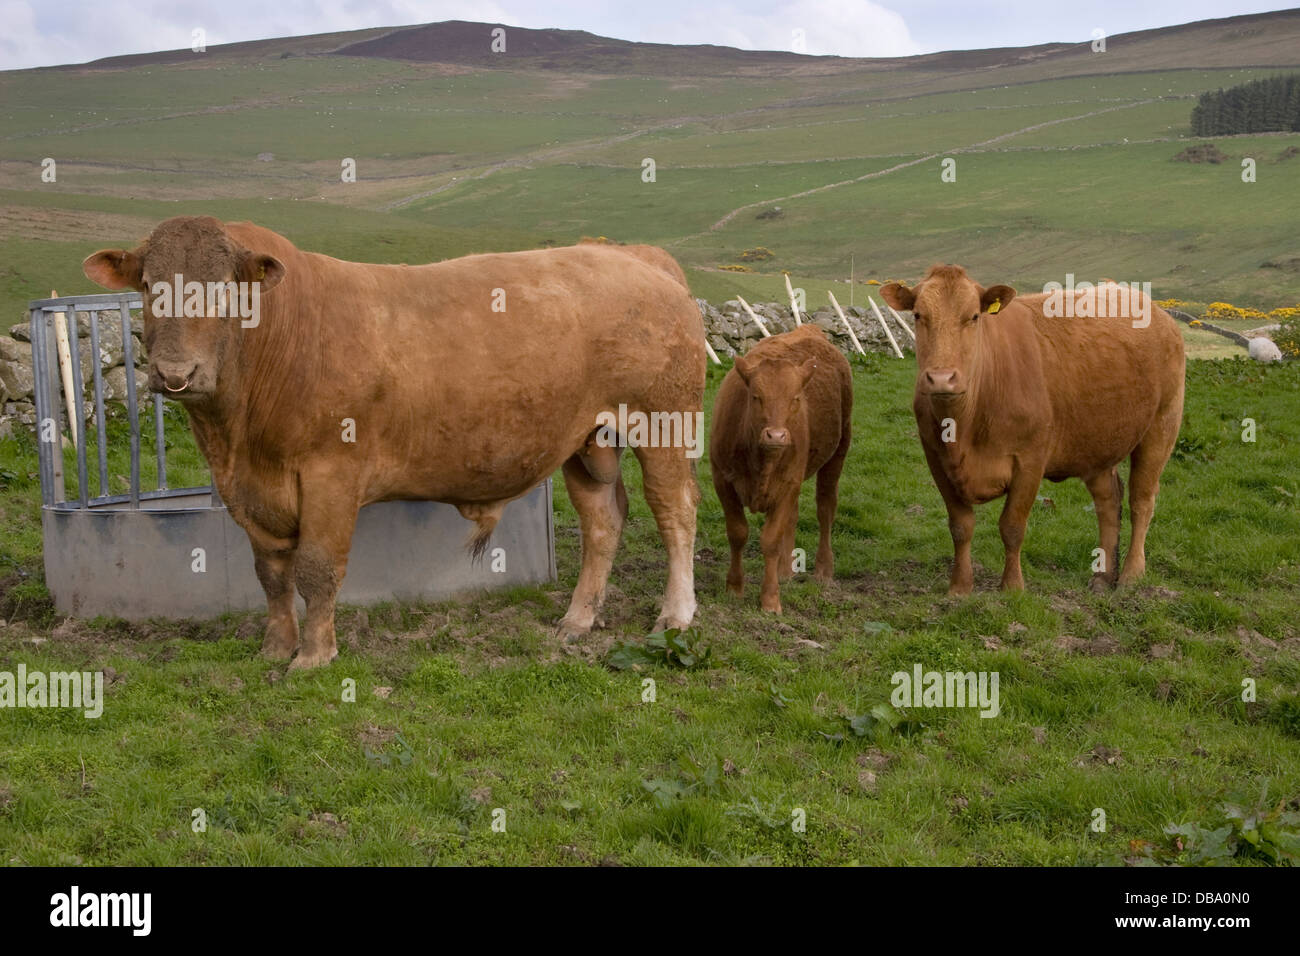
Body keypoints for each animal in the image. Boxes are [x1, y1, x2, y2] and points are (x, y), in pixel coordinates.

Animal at [83, 217, 705, 668]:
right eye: (147, 286)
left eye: (224, 290)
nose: (174, 373)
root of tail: (635, 256)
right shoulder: (247, 492)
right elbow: (272, 573)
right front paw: (275, 648)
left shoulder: (331, 473)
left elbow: (317, 567)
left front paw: (314, 657)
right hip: (587, 440)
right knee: (603, 521)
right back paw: (577, 620)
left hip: (663, 424)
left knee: (675, 511)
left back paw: (675, 615)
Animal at [709, 325, 853, 613]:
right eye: (756, 397)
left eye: (795, 398)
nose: (776, 435)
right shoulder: (722, 480)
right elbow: (738, 533)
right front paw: (734, 588)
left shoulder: (787, 483)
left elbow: (771, 540)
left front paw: (770, 599)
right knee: (794, 516)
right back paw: (786, 570)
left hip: (838, 452)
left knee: (825, 509)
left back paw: (823, 570)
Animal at [881, 265, 1184, 595]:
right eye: (918, 315)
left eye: (973, 316)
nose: (941, 378)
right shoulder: (936, 458)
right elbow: (961, 526)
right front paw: (959, 588)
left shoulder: (1030, 460)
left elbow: (1012, 526)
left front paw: (1012, 587)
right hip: (1097, 443)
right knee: (1108, 501)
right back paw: (1103, 576)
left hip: (1162, 424)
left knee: (1141, 501)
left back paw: (1131, 575)